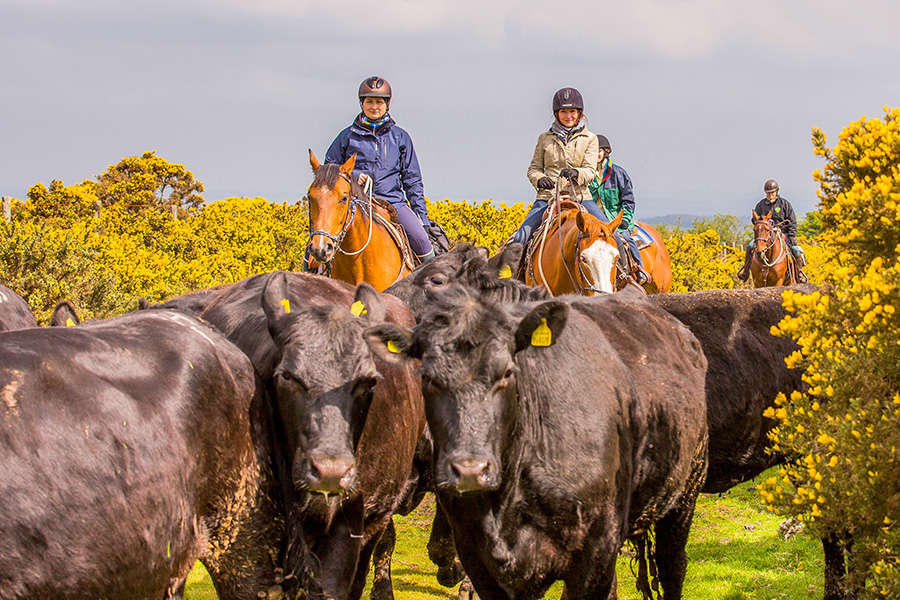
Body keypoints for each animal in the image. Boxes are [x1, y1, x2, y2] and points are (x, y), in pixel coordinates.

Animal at [366, 285, 709, 599]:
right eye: (426, 377)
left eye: (507, 372)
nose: (469, 470)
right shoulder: (477, 554)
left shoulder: (596, 550)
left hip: (686, 490)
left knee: (673, 565)